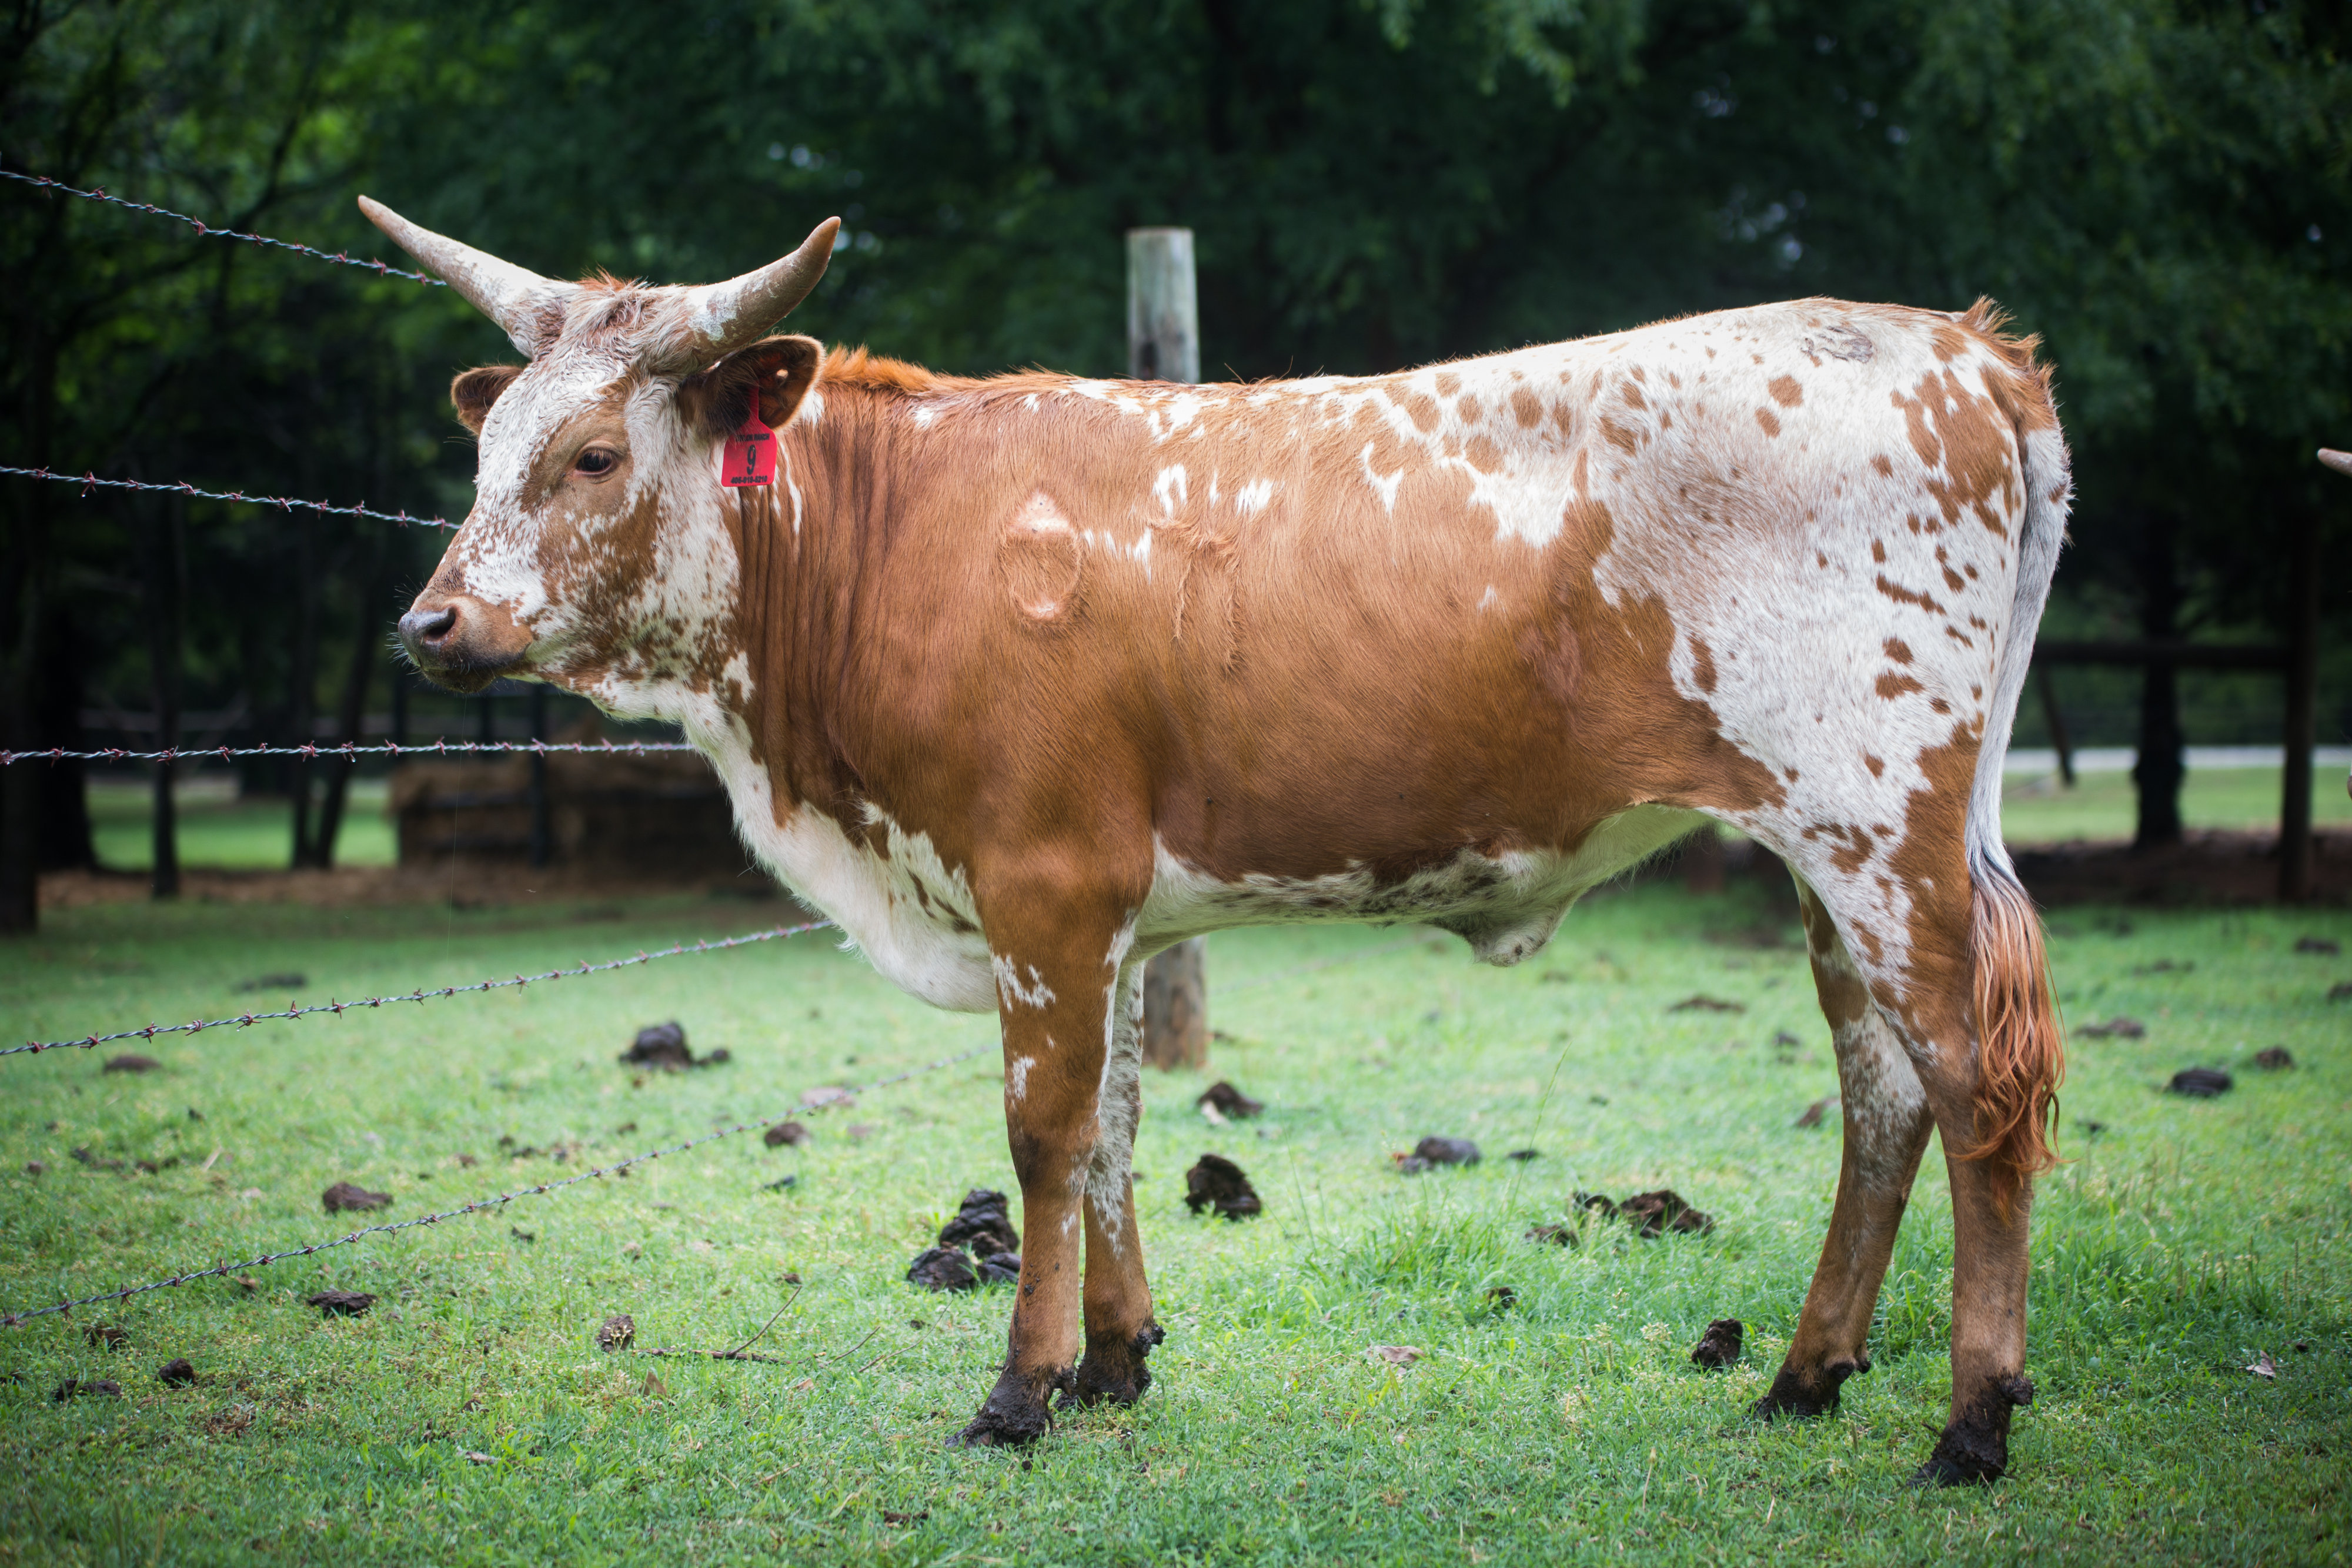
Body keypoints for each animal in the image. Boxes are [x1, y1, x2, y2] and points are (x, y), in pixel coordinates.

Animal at [362, 196, 2069, 1484]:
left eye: (592, 455)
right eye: (485, 450)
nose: (430, 623)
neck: (886, 543)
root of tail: (1961, 344)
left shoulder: (1043, 885)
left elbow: (1043, 1133)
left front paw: (1017, 1392)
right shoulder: (1111, 911)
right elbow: (1116, 1120)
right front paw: (1114, 1361)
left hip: (1879, 826)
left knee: (1973, 1086)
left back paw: (1970, 1424)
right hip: (1837, 857)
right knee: (1880, 1093)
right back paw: (1804, 1375)